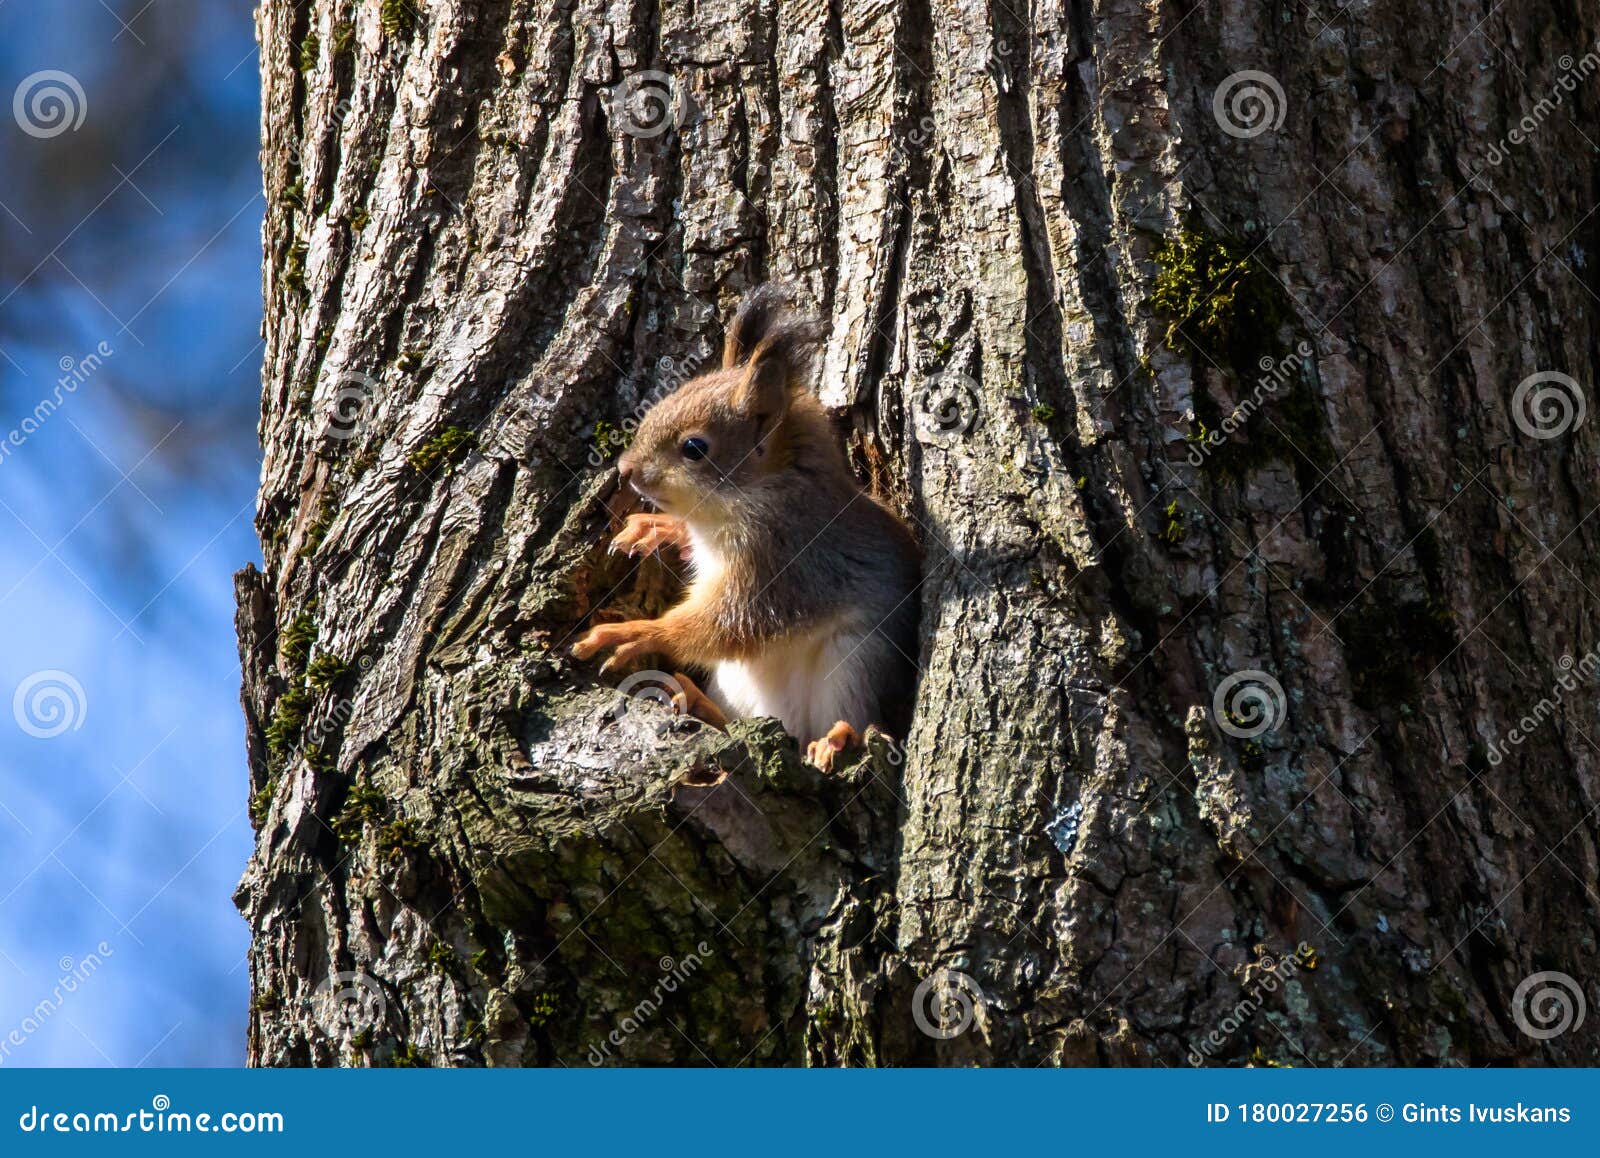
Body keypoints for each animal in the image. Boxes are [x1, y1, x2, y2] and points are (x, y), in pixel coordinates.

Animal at [572, 284, 921, 771]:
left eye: (695, 448)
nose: (626, 470)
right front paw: (657, 529)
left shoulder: (786, 560)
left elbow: (731, 623)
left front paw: (637, 633)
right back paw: (697, 702)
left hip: (855, 662)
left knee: (853, 717)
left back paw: (836, 739)